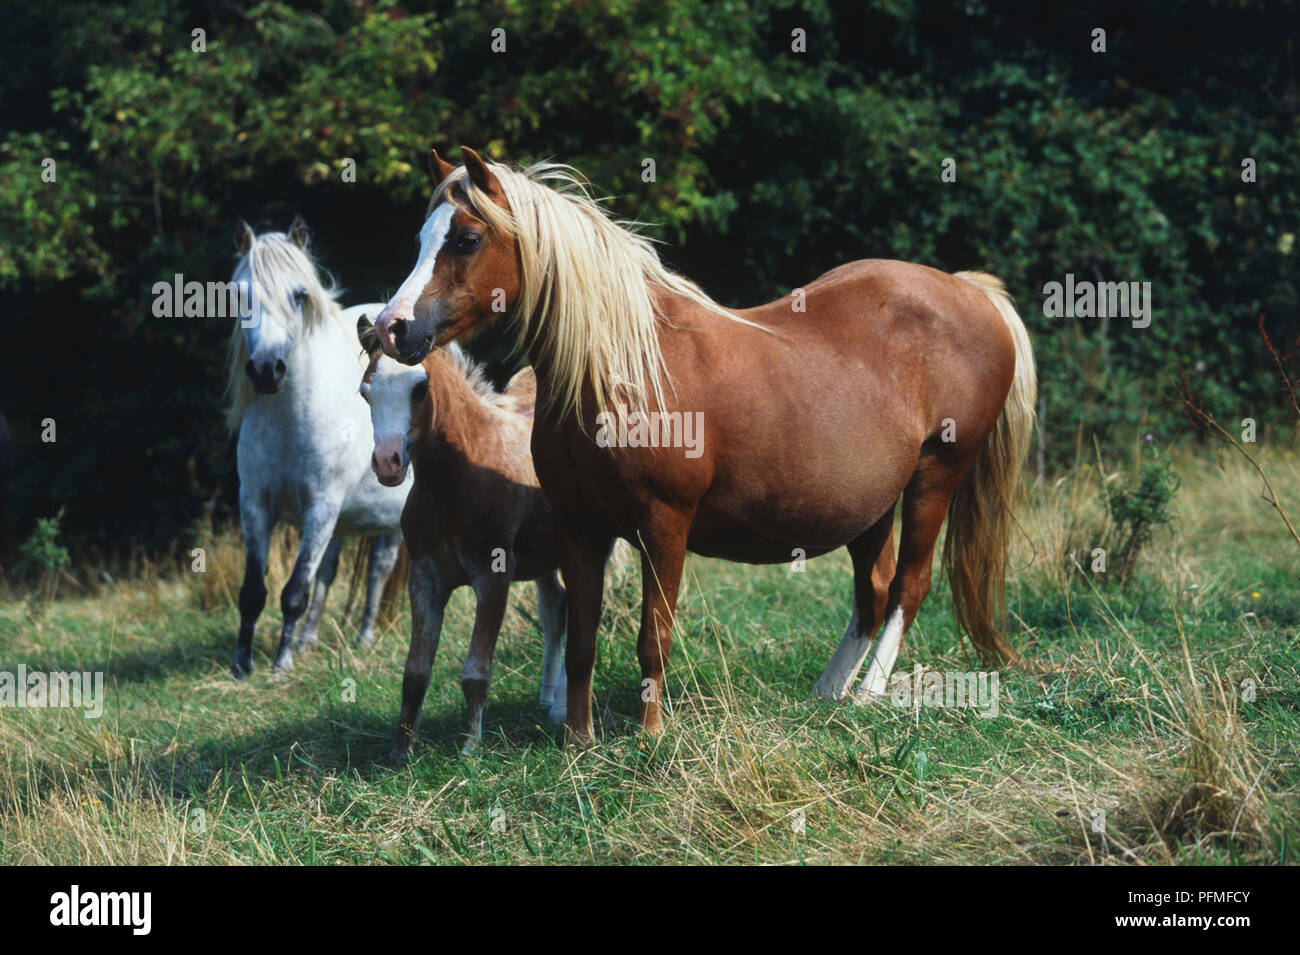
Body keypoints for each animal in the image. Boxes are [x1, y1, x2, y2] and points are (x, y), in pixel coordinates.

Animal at [227, 218, 411, 677]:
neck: (289, 420)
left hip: (392, 521)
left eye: (299, 295)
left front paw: (281, 664)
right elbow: (254, 591)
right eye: (240, 294)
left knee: (379, 570)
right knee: (327, 571)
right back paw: (310, 640)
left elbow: (294, 590)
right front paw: (242, 665)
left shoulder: (321, 506)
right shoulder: (254, 505)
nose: (266, 370)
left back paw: (364, 637)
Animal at [356, 316, 567, 756]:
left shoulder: (493, 576)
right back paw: (546, 701)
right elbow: (415, 671)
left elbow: (475, 670)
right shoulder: (425, 578)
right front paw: (401, 749)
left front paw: (470, 747)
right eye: (365, 392)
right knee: (556, 611)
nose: (387, 463)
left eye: (420, 388)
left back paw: (560, 709)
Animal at [373, 148, 1036, 744]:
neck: (622, 372)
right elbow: (583, 639)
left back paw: (869, 694)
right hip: (870, 505)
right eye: (420, 238)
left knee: (907, 587)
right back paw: (829, 695)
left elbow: (652, 639)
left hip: (936, 475)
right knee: (870, 594)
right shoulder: (579, 527)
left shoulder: (665, 524)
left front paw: (649, 739)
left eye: (465, 239)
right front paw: (579, 742)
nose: (390, 328)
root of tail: (971, 291)